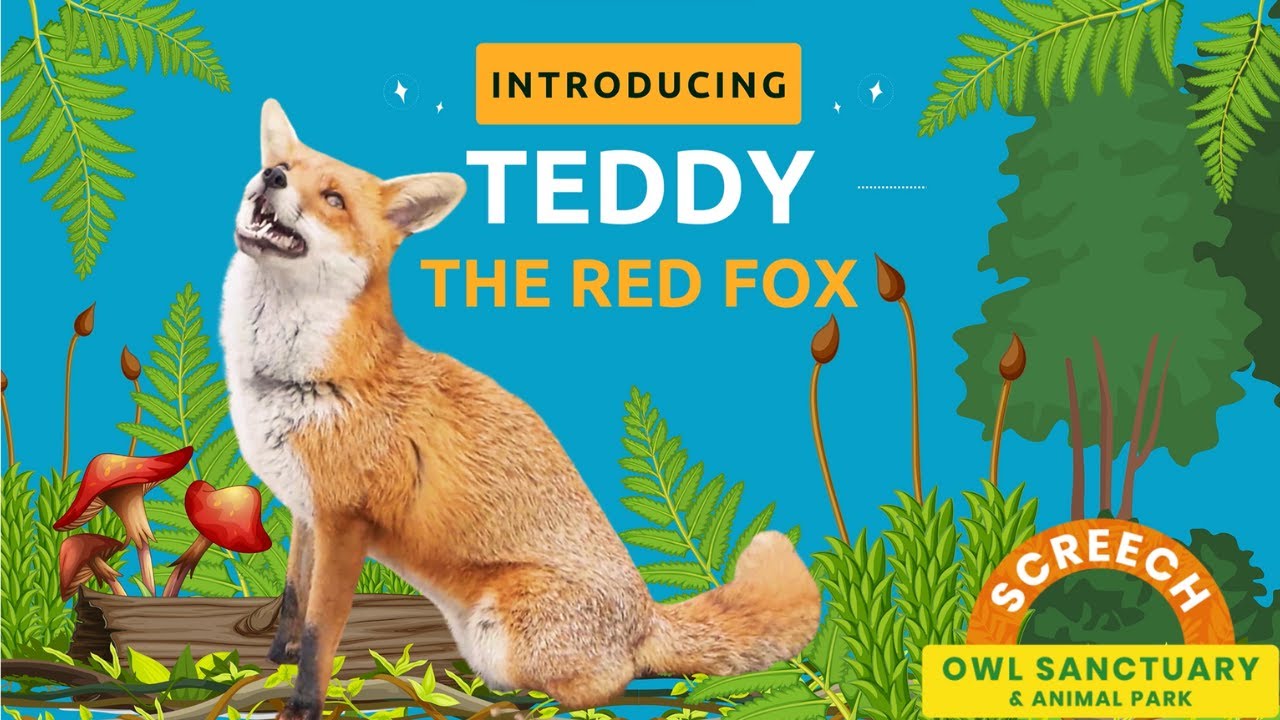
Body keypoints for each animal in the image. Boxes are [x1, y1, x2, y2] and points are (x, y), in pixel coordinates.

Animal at [220, 99, 820, 720]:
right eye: (282, 166)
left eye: (334, 199)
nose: (272, 176)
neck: (301, 378)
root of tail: (646, 615)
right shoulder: (307, 512)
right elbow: (295, 601)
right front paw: (276, 658)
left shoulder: (346, 522)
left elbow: (322, 635)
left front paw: (302, 705)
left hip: (501, 636)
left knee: (613, 682)